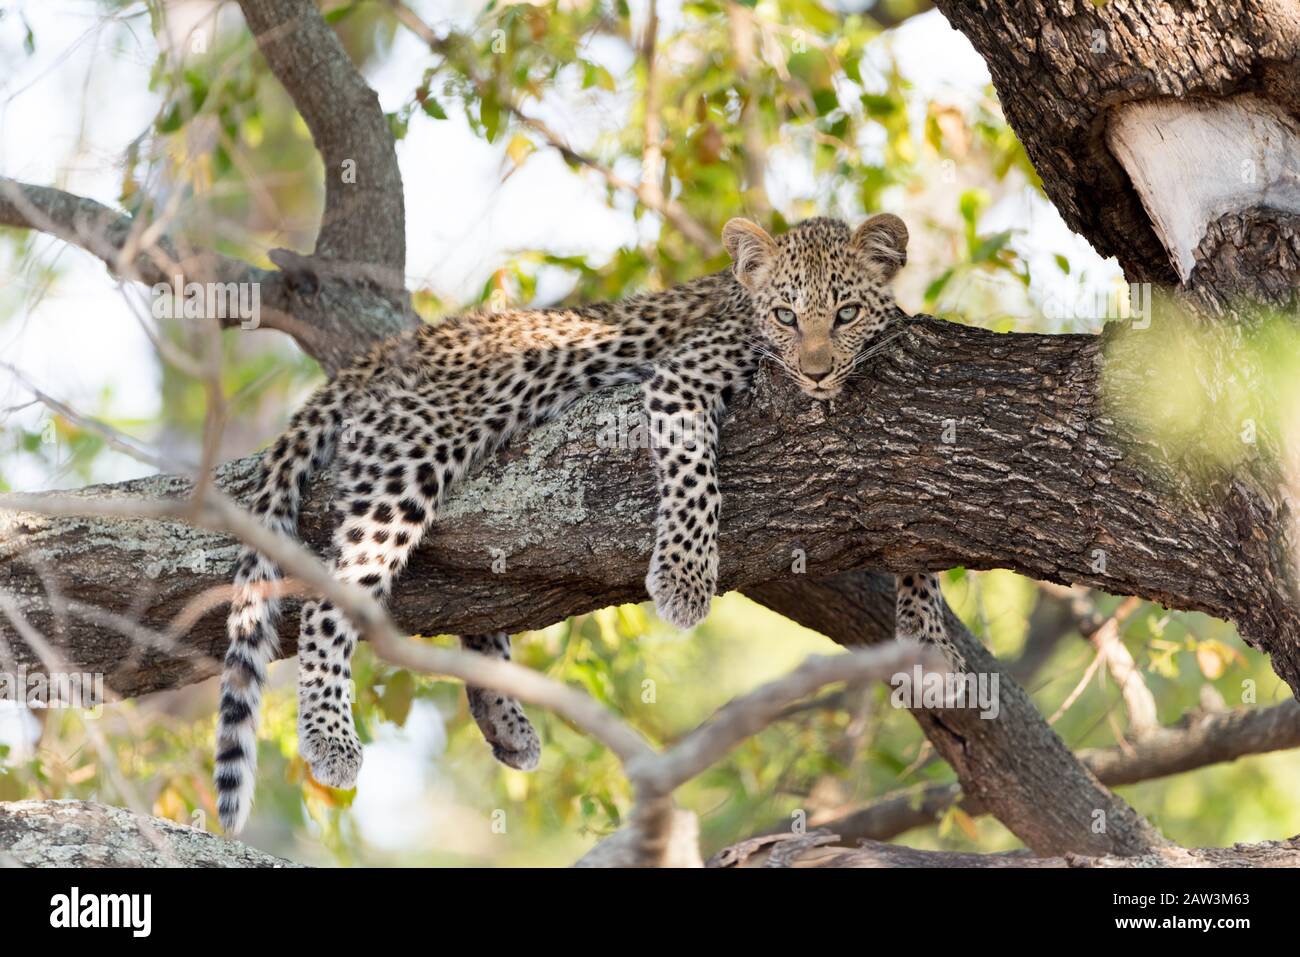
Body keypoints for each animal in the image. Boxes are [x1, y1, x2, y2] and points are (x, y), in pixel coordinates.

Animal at [214, 212, 952, 834]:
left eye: (846, 312)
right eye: (784, 314)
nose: (817, 372)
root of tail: (389, 348)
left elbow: (920, 533)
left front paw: (929, 641)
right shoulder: (680, 379)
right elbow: (694, 479)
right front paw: (684, 580)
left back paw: (506, 722)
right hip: (415, 451)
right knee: (330, 599)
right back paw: (330, 738)